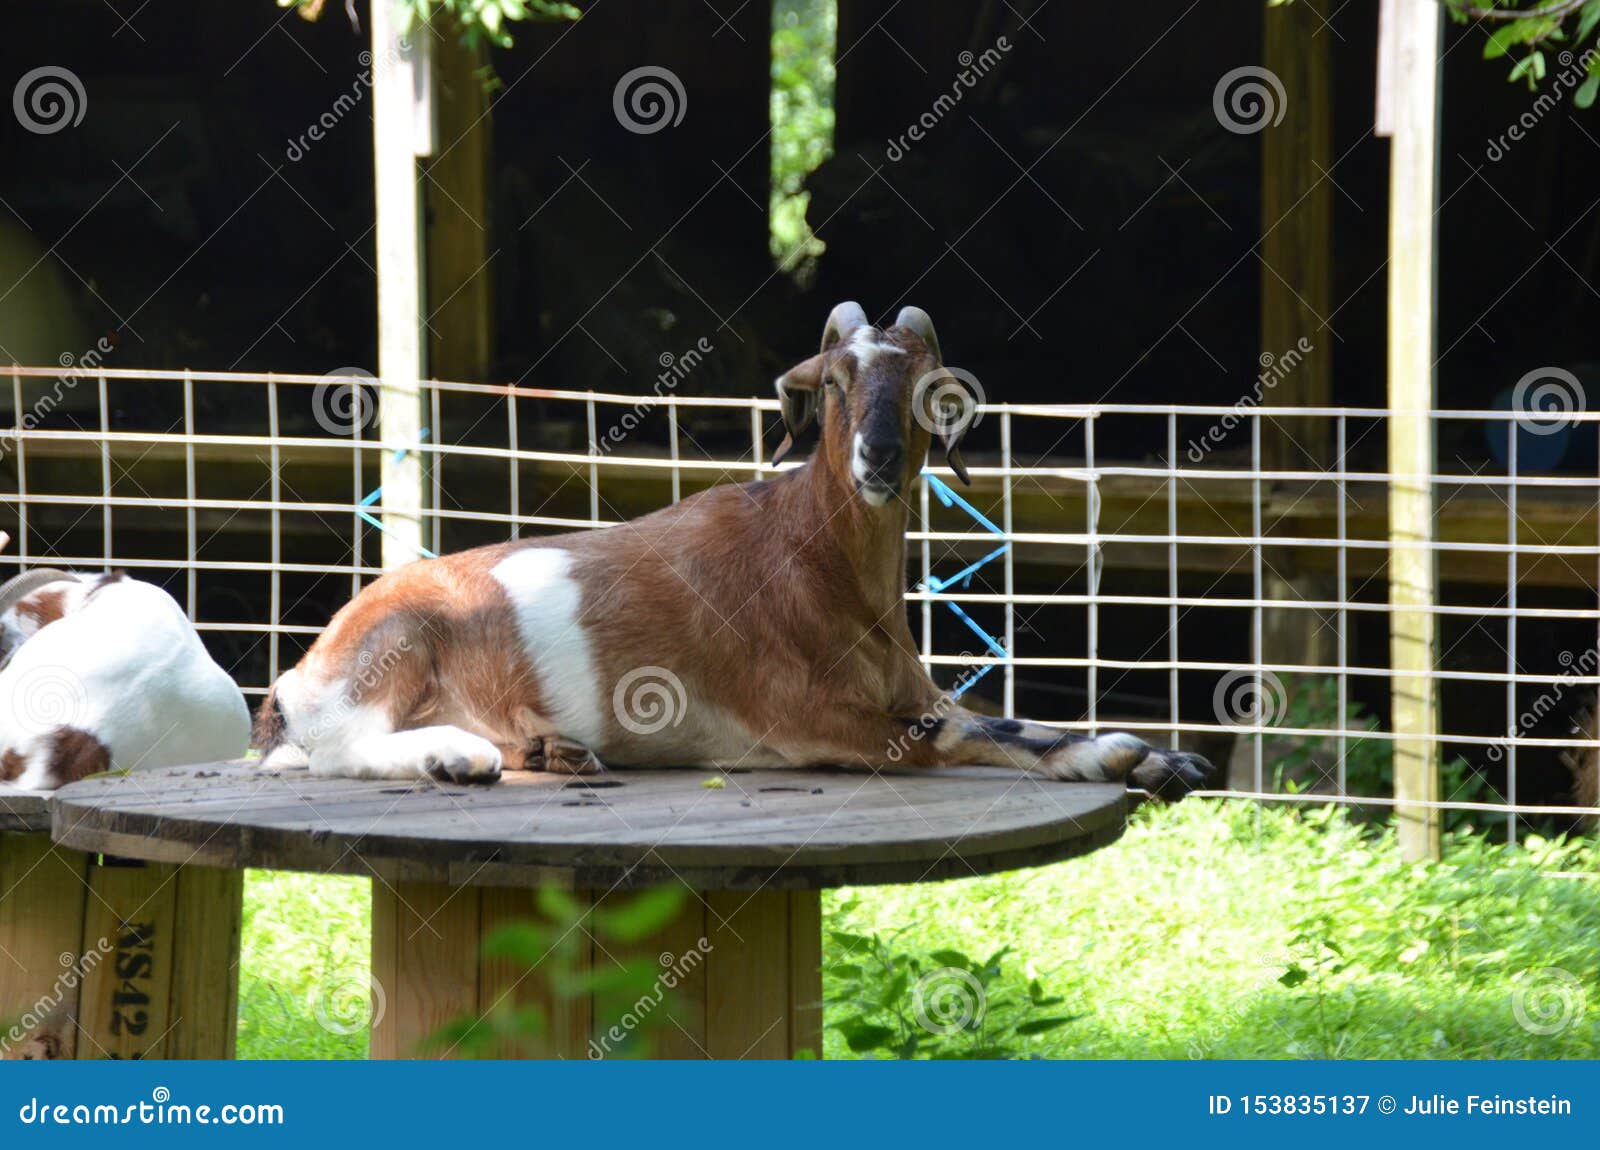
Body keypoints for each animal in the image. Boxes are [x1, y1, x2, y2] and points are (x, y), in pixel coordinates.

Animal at [255, 303, 1212, 797]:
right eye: (835, 379)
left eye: (924, 386)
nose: (878, 458)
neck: (816, 562)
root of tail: (303, 671)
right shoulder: (815, 719)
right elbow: (952, 734)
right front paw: (1120, 754)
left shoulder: (913, 689)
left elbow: (990, 714)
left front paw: (1162, 758)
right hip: (400, 643)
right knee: (340, 745)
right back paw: (459, 757)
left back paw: (552, 752)